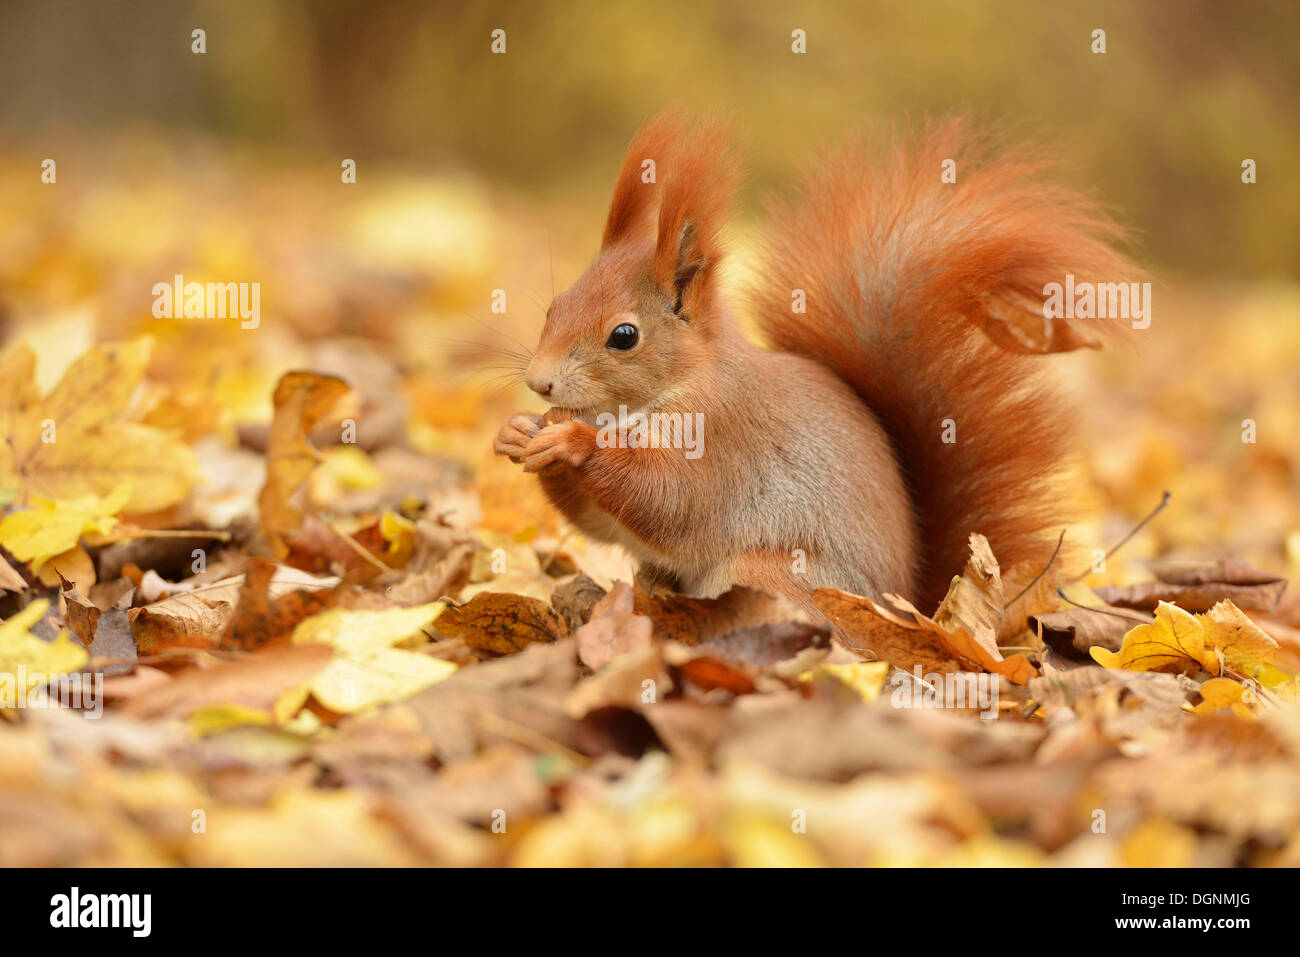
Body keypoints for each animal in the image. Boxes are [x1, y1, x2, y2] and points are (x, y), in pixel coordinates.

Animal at [493, 111, 1134, 617]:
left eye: (624, 336)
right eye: (554, 306)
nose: (538, 382)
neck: (678, 386)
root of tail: (909, 607)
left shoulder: (721, 446)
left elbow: (668, 501)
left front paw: (573, 442)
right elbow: (601, 521)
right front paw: (517, 433)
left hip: (773, 574)